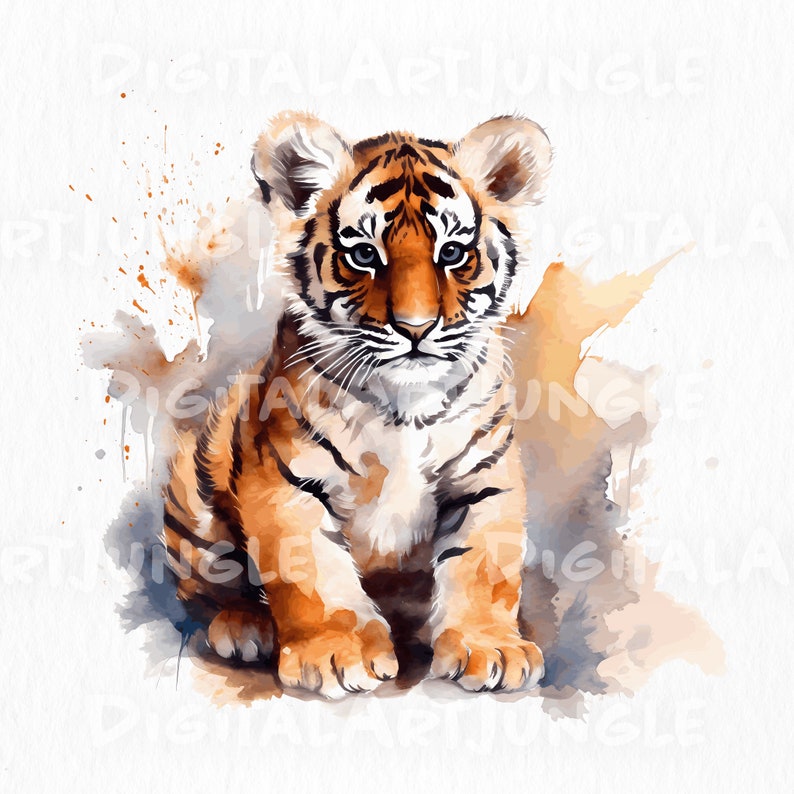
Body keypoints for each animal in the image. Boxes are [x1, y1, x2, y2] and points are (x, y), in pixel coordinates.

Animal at [163, 110, 553, 698]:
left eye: (452, 252)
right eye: (364, 254)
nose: (416, 328)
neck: (407, 403)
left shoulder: (486, 475)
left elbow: (484, 564)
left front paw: (490, 647)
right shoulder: (287, 479)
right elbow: (311, 569)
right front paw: (336, 654)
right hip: (195, 478)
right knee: (210, 584)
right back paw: (245, 627)